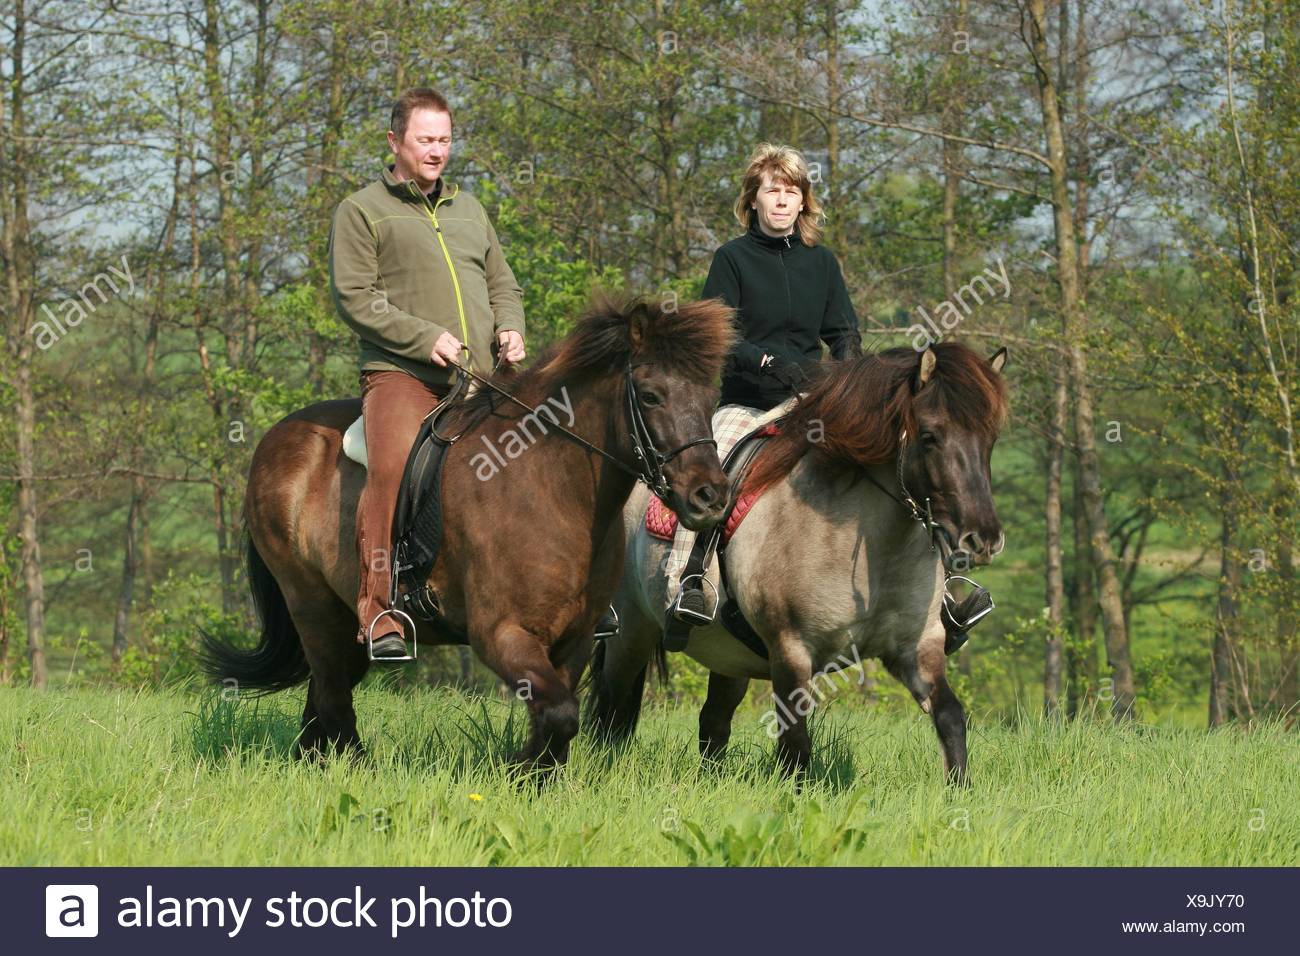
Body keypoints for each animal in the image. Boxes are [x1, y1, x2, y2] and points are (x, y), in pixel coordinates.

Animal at [202, 295, 736, 772]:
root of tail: (278, 438)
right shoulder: (501, 634)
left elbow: (557, 716)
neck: (549, 486)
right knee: (333, 697)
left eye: (709, 398)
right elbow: (560, 714)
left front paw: (536, 777)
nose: (711, 496)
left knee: (323, 699)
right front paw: (517, 770)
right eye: (651, 395)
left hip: (339, 616)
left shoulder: (578, 638)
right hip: (310, 602)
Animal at [586, 342, 1009, 785]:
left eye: (990, 438)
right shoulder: (791, 651)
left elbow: (951, 718)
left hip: (728, 654)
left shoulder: (916, 648)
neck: (868, 548)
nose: (983, 540)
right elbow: (796, 747)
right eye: (929, 437)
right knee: (611, 709)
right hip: (631, 632)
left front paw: (958, 793)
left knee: (713, 722)